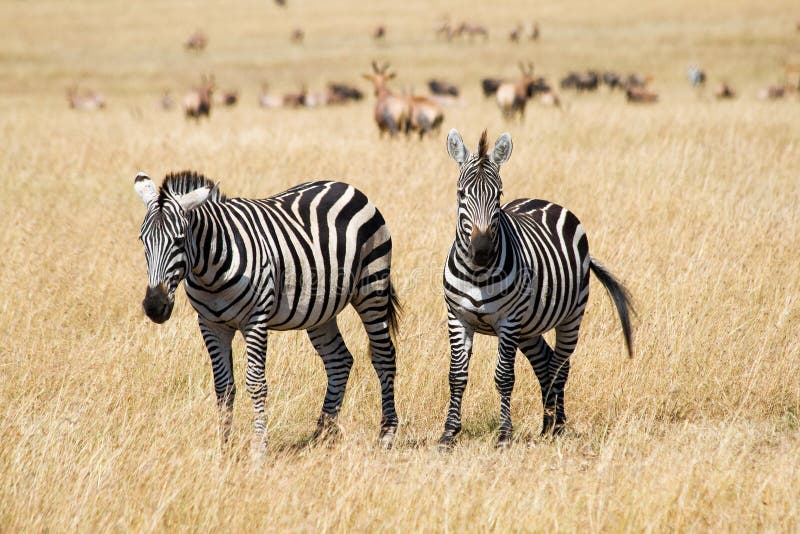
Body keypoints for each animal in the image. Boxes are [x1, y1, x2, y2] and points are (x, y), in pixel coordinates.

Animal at [133, 171, 400, 452]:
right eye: (142, 240)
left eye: (179, 240)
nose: (154, 306)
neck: (211, 272)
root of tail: (344, 185)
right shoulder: (210, 324)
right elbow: (223, 386)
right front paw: (224, 447)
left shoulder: (255, 320)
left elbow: (255, 383)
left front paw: (259, 446)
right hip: (320, 310)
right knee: (339, 360)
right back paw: (322, 434)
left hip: (372, 287)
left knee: (384, 356)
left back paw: (386, 434)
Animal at [439, 129, 633, 449]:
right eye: (461, 194)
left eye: (498, 195)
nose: (482, 252)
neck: (478, 274)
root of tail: (544, 201)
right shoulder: (458, 318)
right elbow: (456, 376)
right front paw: (448, 434)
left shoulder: (508, 320)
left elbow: (504, 377)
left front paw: (504, 435)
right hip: (529, 326)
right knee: (544, 362)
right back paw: (546, 423)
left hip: (570, 315)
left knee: (560, 366)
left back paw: (558, 425)